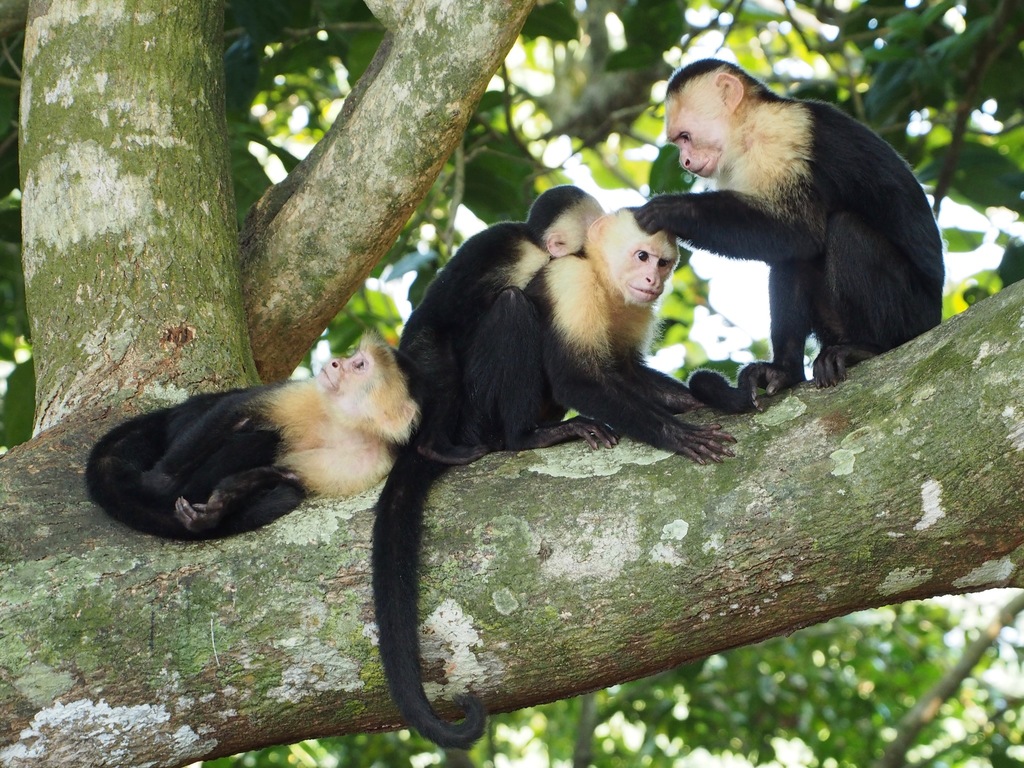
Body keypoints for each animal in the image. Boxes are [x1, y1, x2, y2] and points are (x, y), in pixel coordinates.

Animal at [86, 334, 420, 539]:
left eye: (359, 365)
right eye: (353, 357)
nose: (336, 362)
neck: (343, 424)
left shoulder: (365, 465)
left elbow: (282, 474)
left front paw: (216, 510)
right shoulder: (306, 394)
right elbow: (237, 410)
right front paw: (156, 484)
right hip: (181, 424)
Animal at [372, 206, 735, 750]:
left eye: (665, 263)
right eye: (642, 256)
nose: (653, 280)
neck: (603, 281)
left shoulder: (634, 310)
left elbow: (625, 371)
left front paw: (703, 397)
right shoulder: (571, 283)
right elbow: (575, 377)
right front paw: (676, 434)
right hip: (476, 414)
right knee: (511, 310)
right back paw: (527, 436)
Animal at [636, 59, 945, 410]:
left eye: (685, 137)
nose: (685, 162)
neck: (747, 128)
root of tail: (936, 315)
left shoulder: (780, 136)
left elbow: (803, 232)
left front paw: (672, 210)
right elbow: (788, 241)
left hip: (914, 312)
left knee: (844, 231)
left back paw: (867, 348)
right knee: (792, 259)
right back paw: (785, 372)